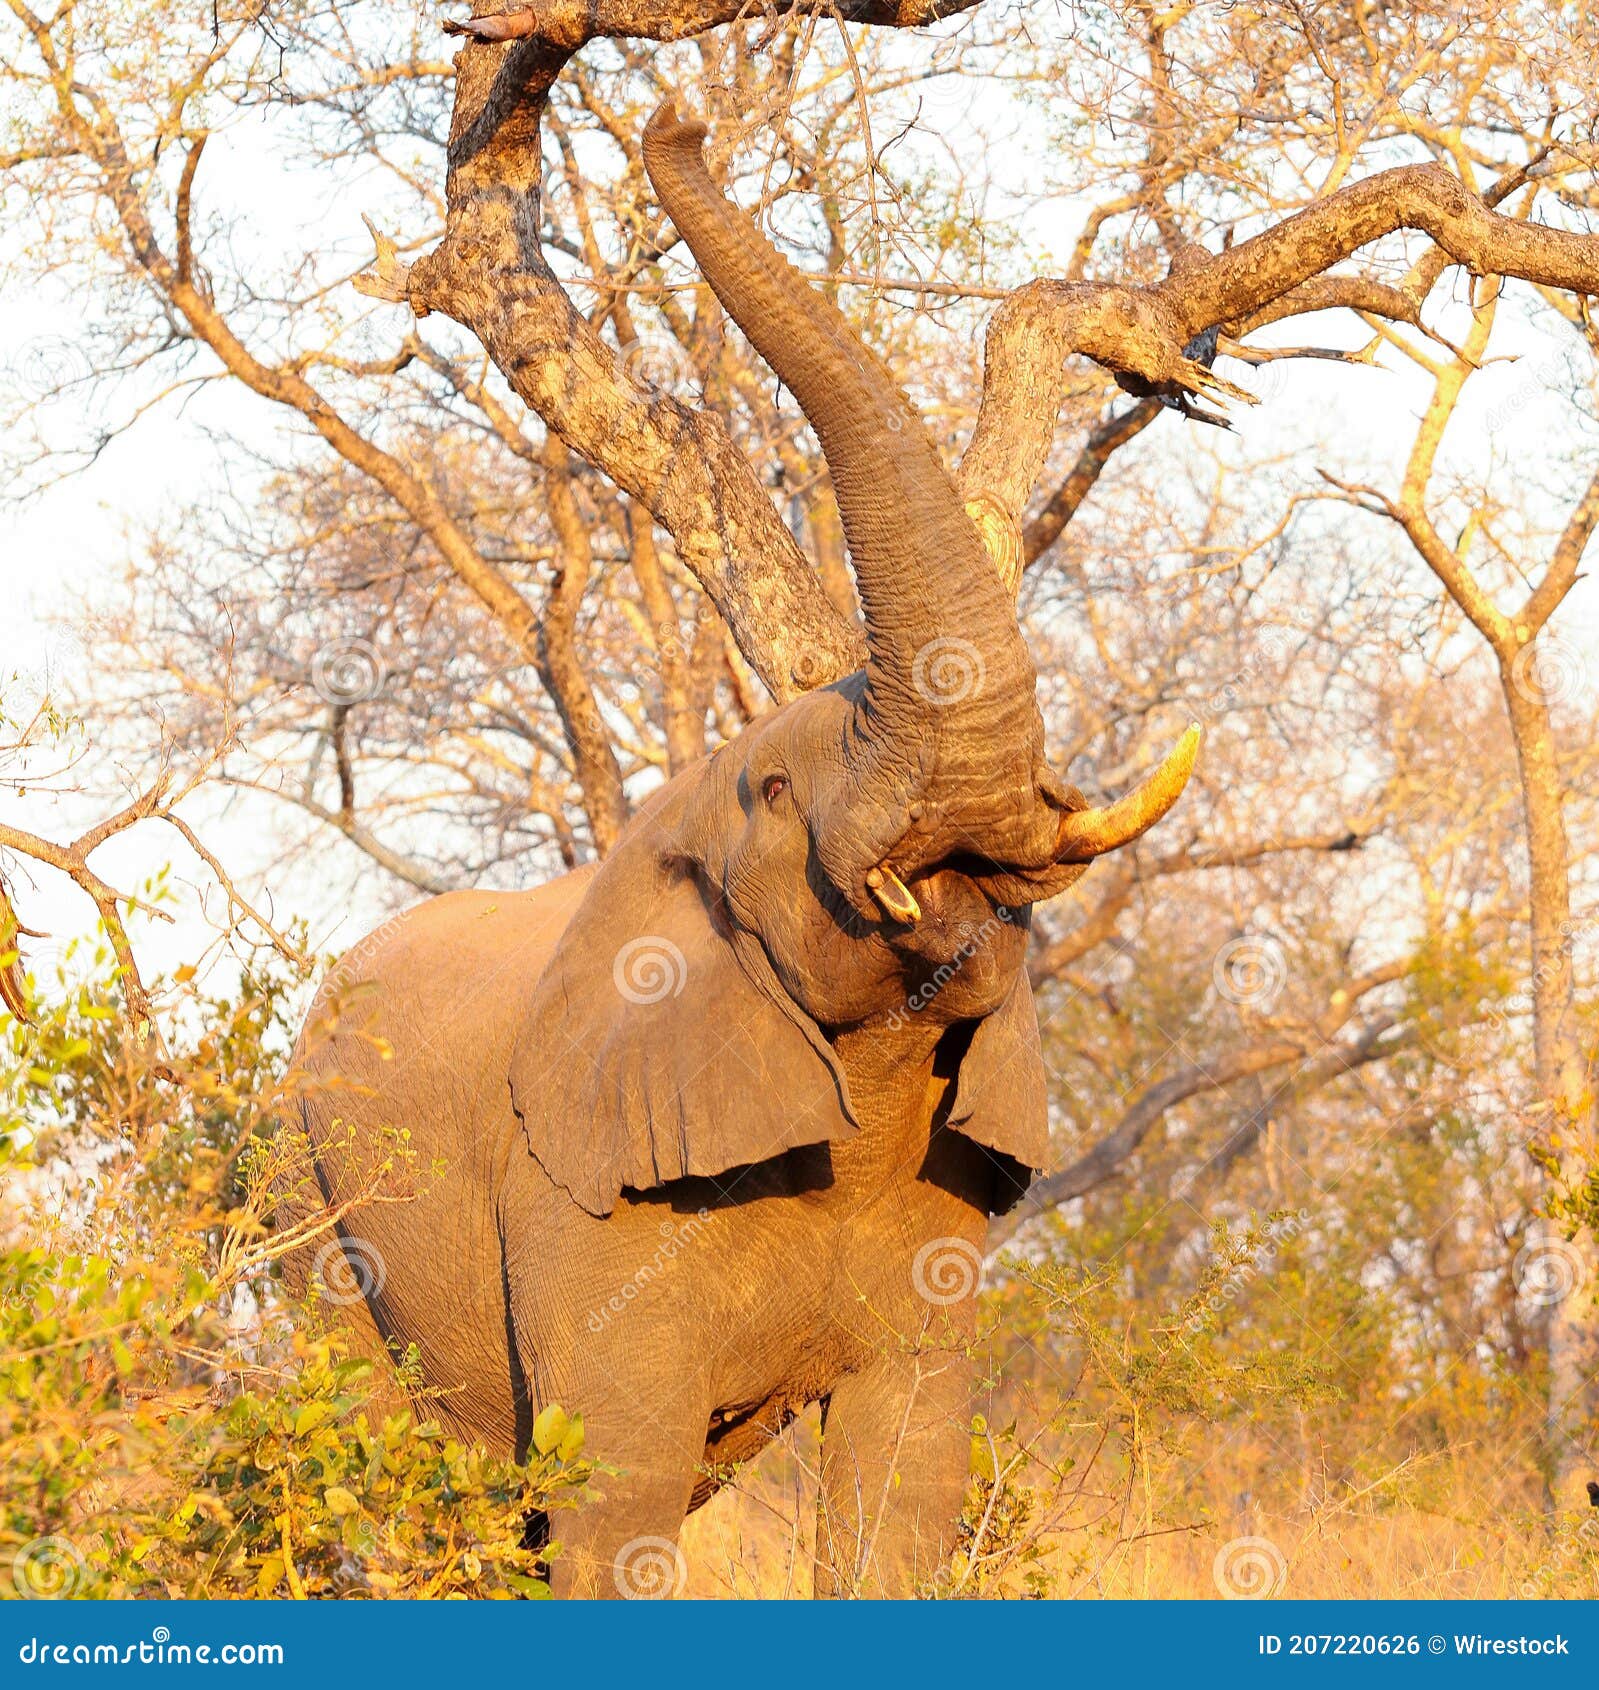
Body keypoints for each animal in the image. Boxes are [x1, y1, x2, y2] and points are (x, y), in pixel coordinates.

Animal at [278, 101, 1198, 1599]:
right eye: (770, 786)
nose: (674, 114)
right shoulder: (576, 1185)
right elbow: (618, 1499)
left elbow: (898, 1484)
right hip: (309, 1183)